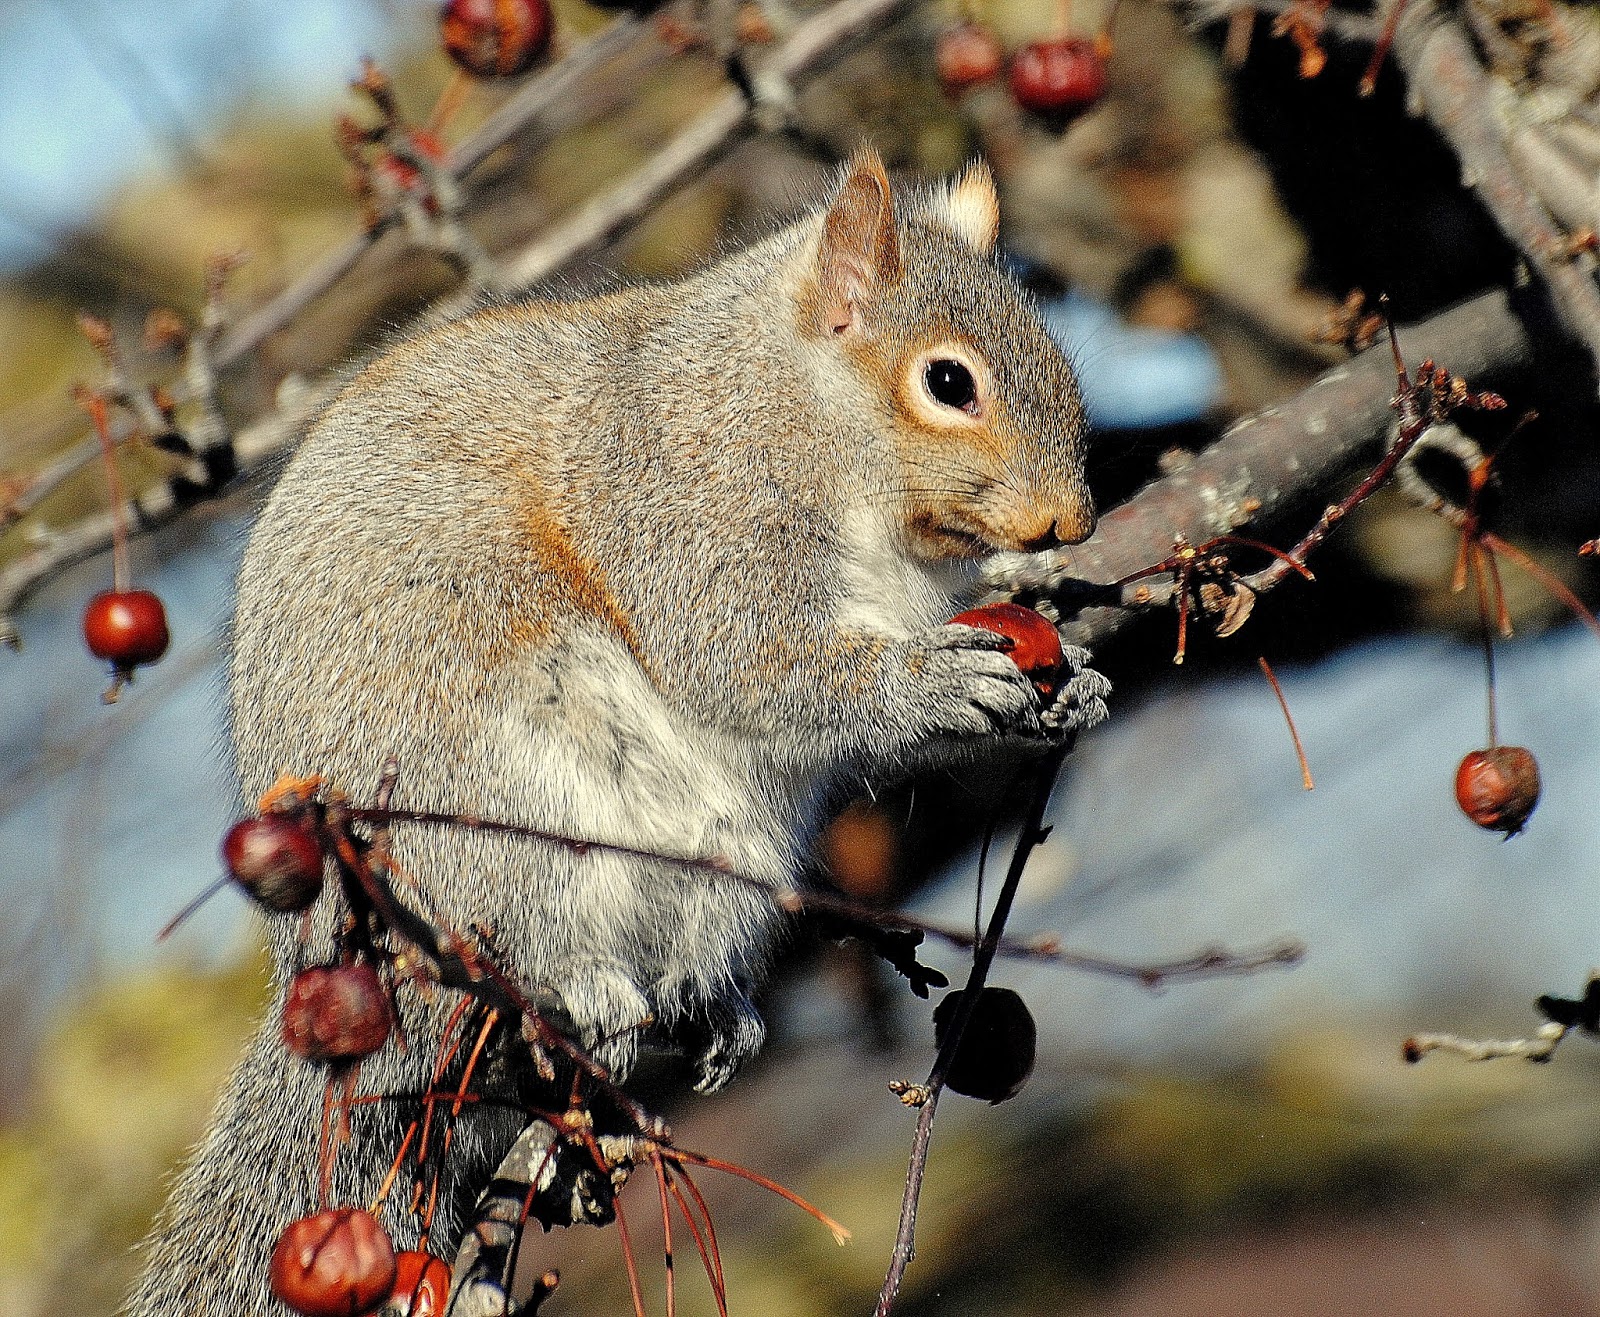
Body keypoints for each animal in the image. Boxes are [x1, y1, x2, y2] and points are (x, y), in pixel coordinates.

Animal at [125, 148, 1107, 1315]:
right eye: (948, 383)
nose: (1074, 522)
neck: (793, 406)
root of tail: (328, 959)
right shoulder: (681, 509)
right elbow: (751, 667)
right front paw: (934, 684)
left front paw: (1070, 684)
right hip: (502, 808)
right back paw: (583, 983)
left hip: (734, 852)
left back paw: (710, 1000)